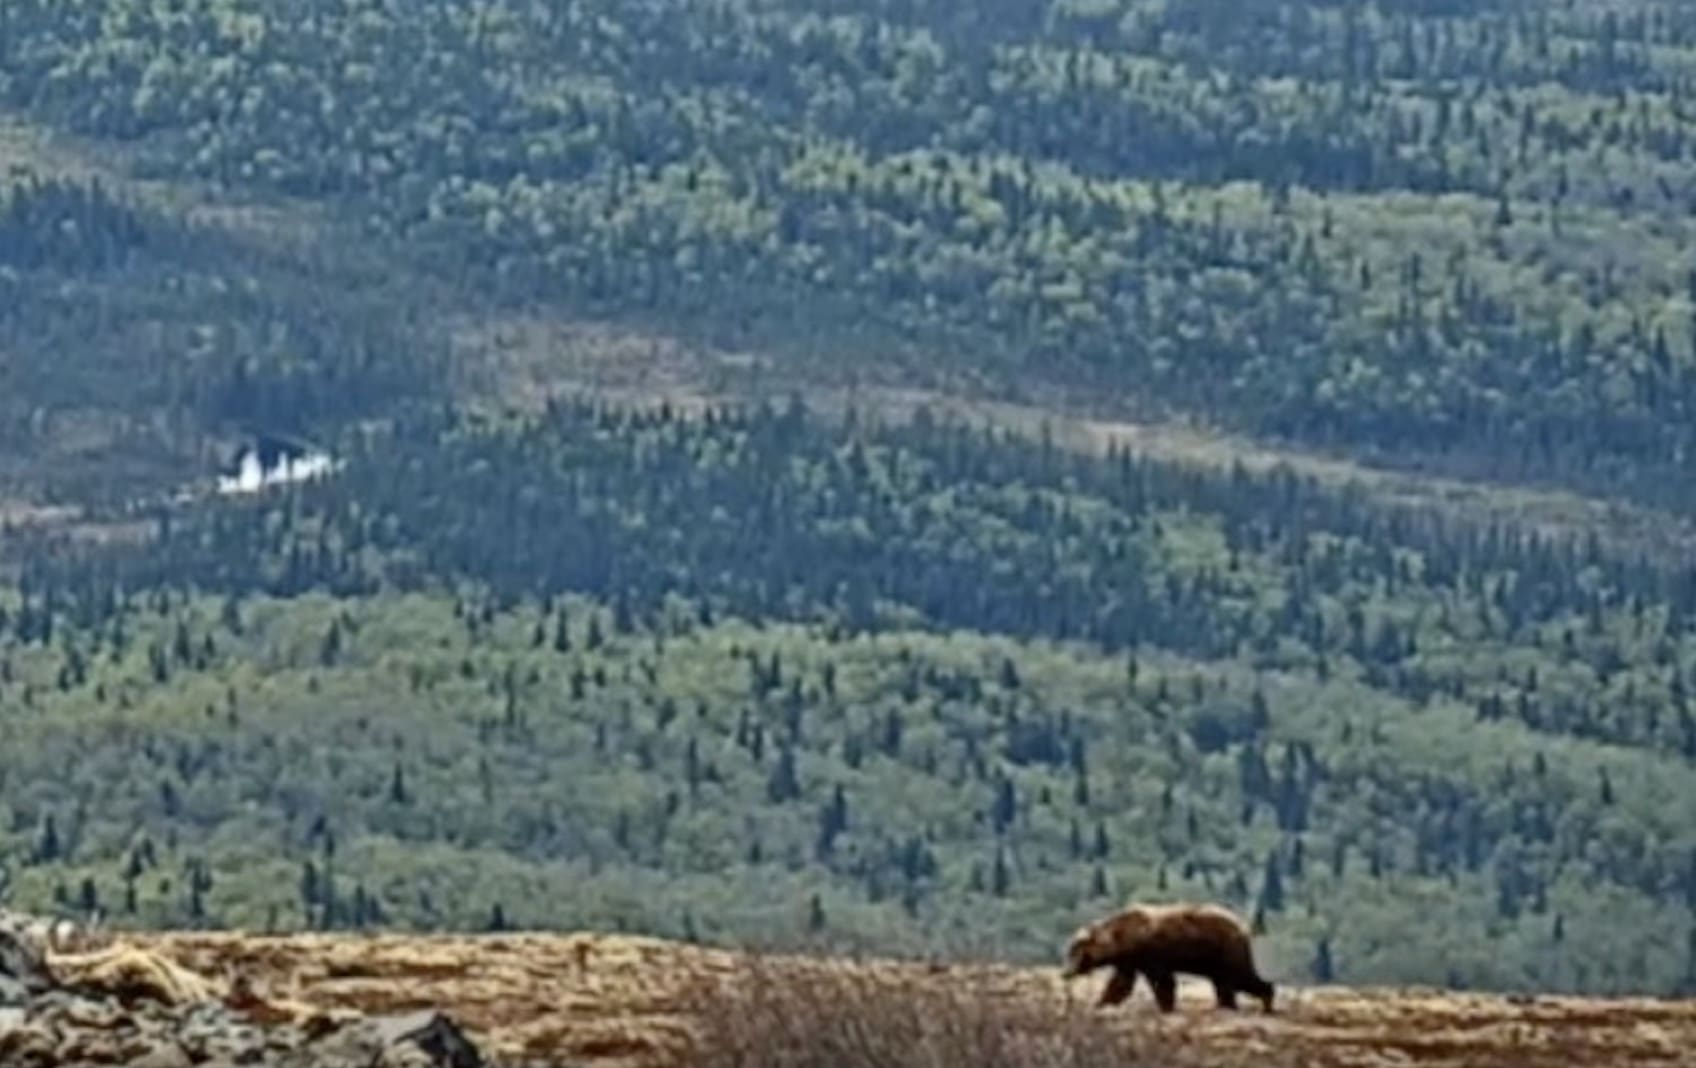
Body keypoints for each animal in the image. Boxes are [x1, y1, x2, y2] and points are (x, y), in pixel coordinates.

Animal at [1061, 901, 1275, 1014]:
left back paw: (1264, 1001)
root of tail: (1243, 926)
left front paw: (1166, 1005)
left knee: (1241, 977)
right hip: (1217, 959)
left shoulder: (1152, 954)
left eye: (1075, 952)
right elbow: (1120, 983)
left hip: (1225, 949)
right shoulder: (1131, 961)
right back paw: (1227, 1005)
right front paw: (1101, 1002)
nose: (1065, 973)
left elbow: (1162, 981)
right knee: (1226, 983)